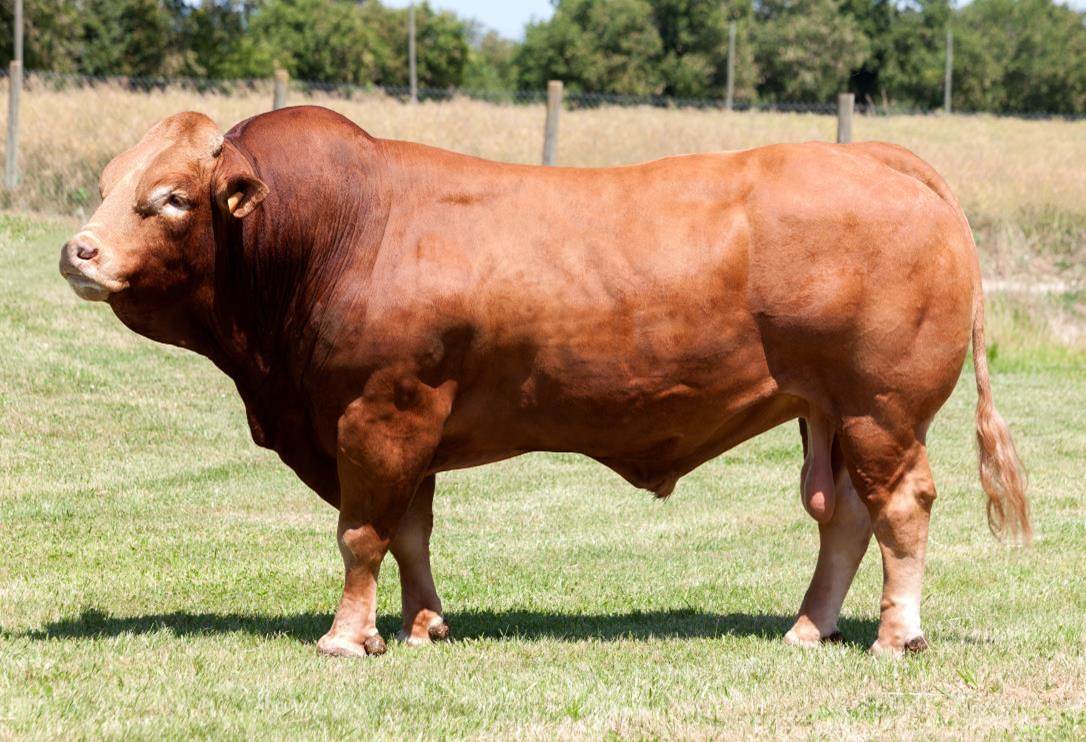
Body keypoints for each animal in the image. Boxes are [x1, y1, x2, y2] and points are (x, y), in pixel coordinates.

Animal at [59, 106, 1030, 658]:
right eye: (107, 183)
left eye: (172, 196)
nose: (79, 251)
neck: (335, 230)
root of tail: (878, 157)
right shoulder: (410, 427)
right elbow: (411, 533)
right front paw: (422, 626)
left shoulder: (376, 413)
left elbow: (363, 533)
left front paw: (345, 637)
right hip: (826, 413)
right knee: (844, 515)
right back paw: (808, 627)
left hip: (881, 408)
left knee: (900, 507)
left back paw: (896, 636)